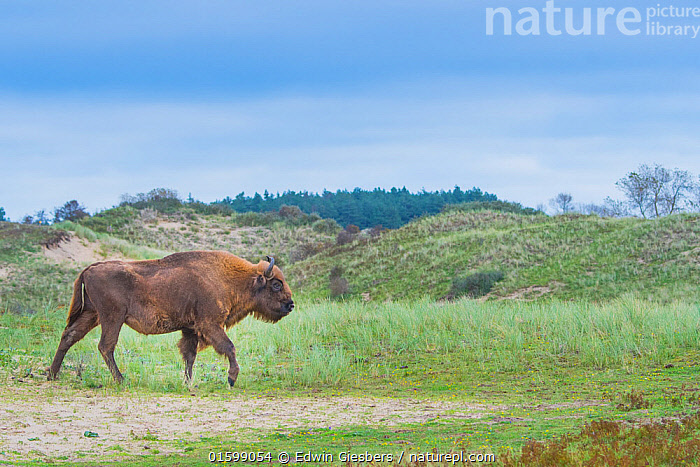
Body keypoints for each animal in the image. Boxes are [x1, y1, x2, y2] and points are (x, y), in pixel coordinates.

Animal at [48, 251, 294, 386]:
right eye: (276, 284)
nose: (290, 305)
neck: (229, 278)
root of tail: (90, 268)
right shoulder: (210, 324)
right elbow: (228, 347)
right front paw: (231, 379)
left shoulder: (191, 329)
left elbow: (189, 356)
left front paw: (188, 382)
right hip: (112, 317)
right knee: (105, 346)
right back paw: (121, 380)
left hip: (92, 314)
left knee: (69, 336)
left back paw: (52, 375)